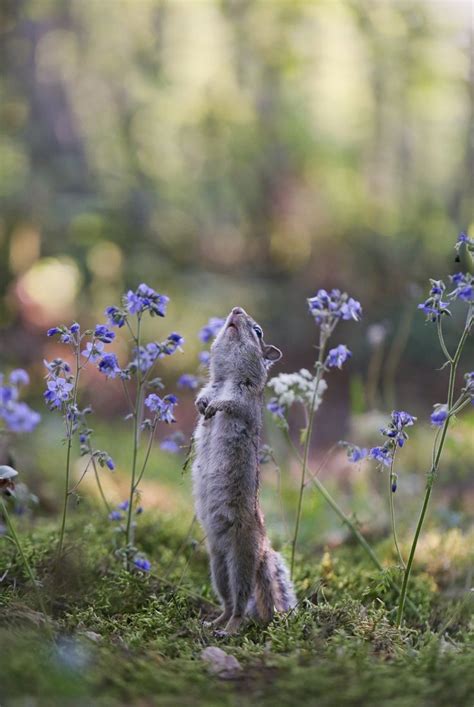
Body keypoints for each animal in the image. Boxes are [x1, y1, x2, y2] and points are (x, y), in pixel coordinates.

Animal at [192, 306, 296, 634]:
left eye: (258, 331)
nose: (236, 310)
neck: (228, 377)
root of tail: (263, 549)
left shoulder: (245, 401)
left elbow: (231, 404)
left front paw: (215, 407)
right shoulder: (211, 385)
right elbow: (204, 395)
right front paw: (202, 405)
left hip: (241, 559)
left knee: (240, 604)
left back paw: (229, 629)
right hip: (217, 566)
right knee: (227, 603)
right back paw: (213, 622)